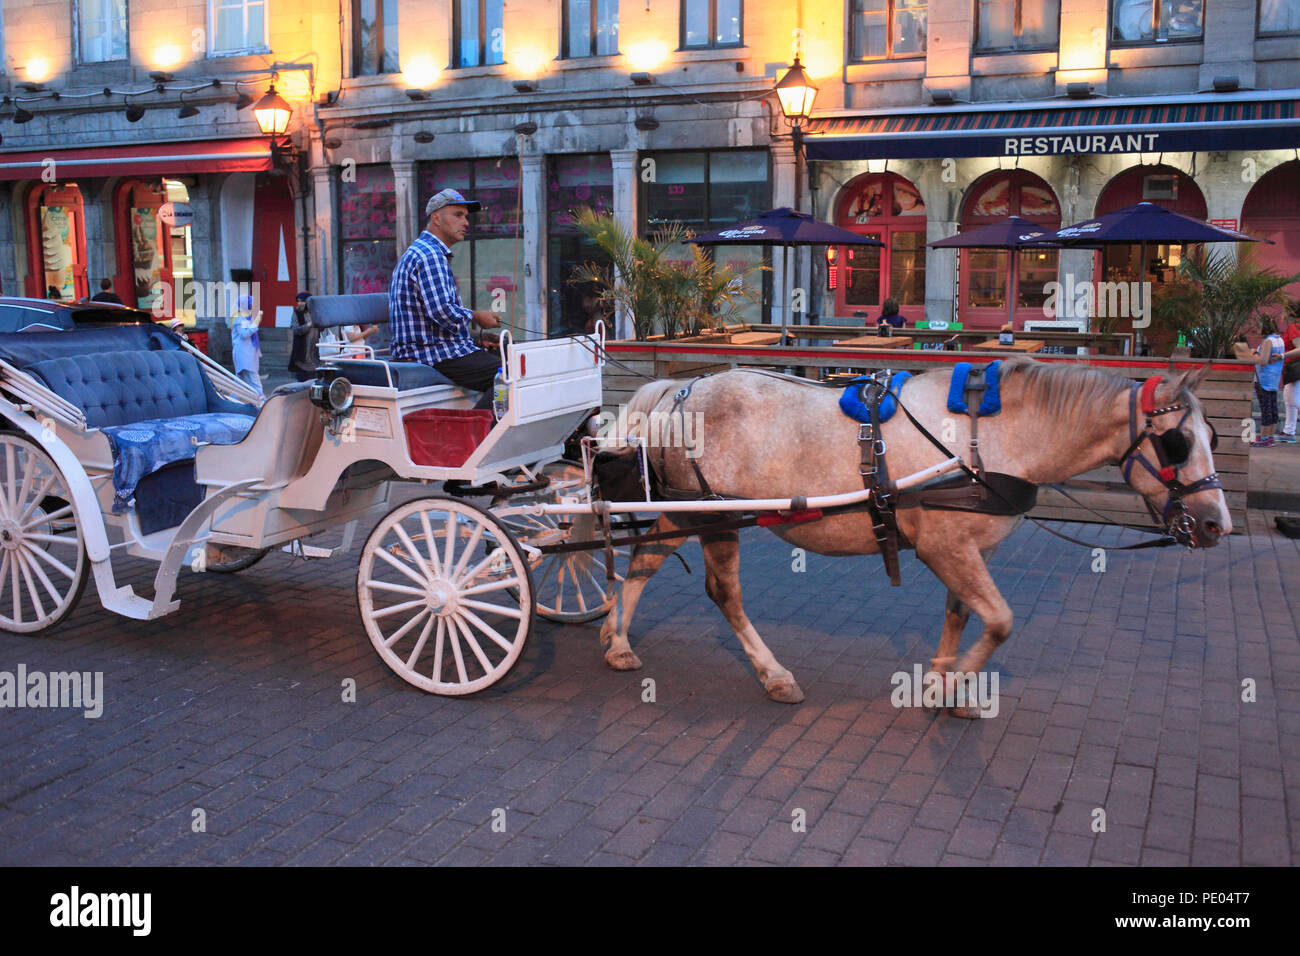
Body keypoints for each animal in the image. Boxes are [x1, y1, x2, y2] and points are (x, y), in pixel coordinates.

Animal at [597, 357, 1228, 714]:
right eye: (1176, 443)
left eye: (1213, 436)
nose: (1216, 523)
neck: (988, 437)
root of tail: (677, 392)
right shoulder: (944, 547)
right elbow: (1001, 621)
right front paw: (947, 689)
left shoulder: (967, 549)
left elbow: (962, 615)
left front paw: (946, 682)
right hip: (716, 517)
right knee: (723, 594)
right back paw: (774, 674)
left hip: (685, 511)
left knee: (644, 560)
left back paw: (617, 637)